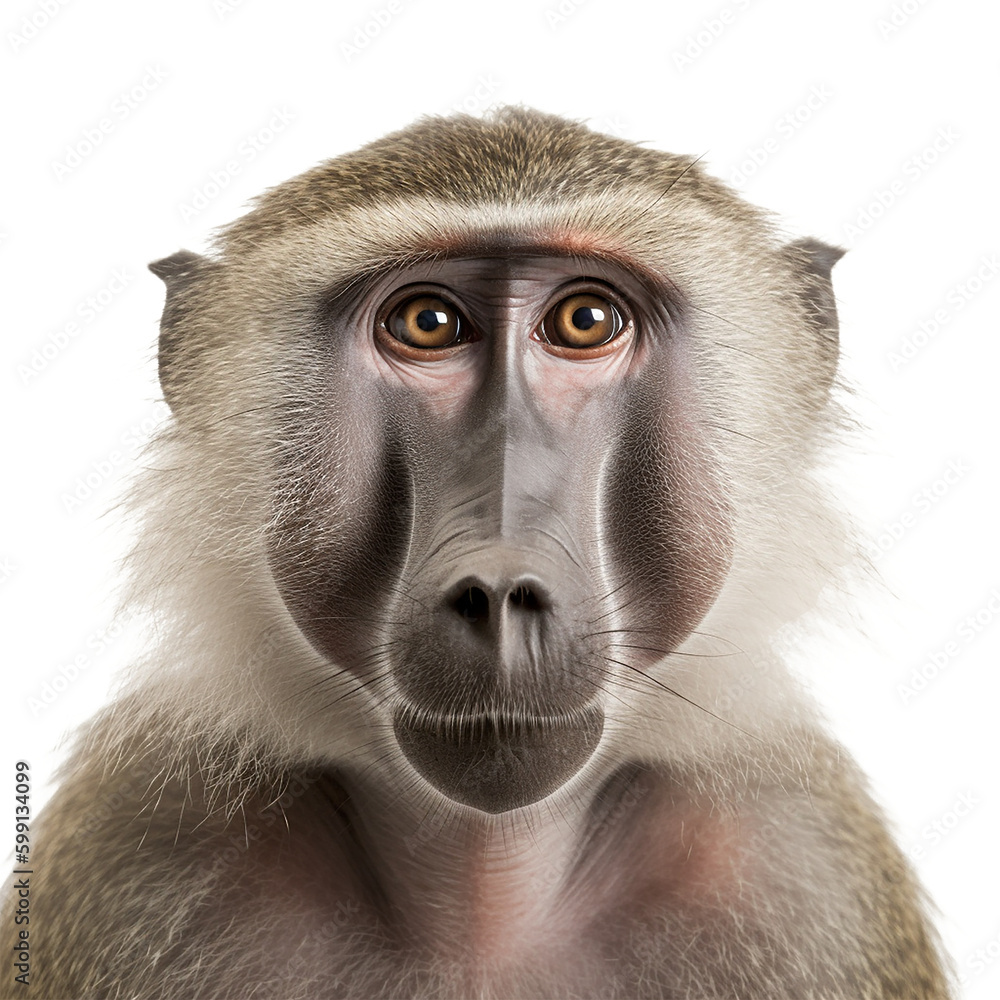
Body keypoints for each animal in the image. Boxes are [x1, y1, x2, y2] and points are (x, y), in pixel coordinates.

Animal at [3, 107, 952, 999]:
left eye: (585, 321)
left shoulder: (808, 873)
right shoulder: (135, 841)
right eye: (427, 324)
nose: (498, 588)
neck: (486, 888)